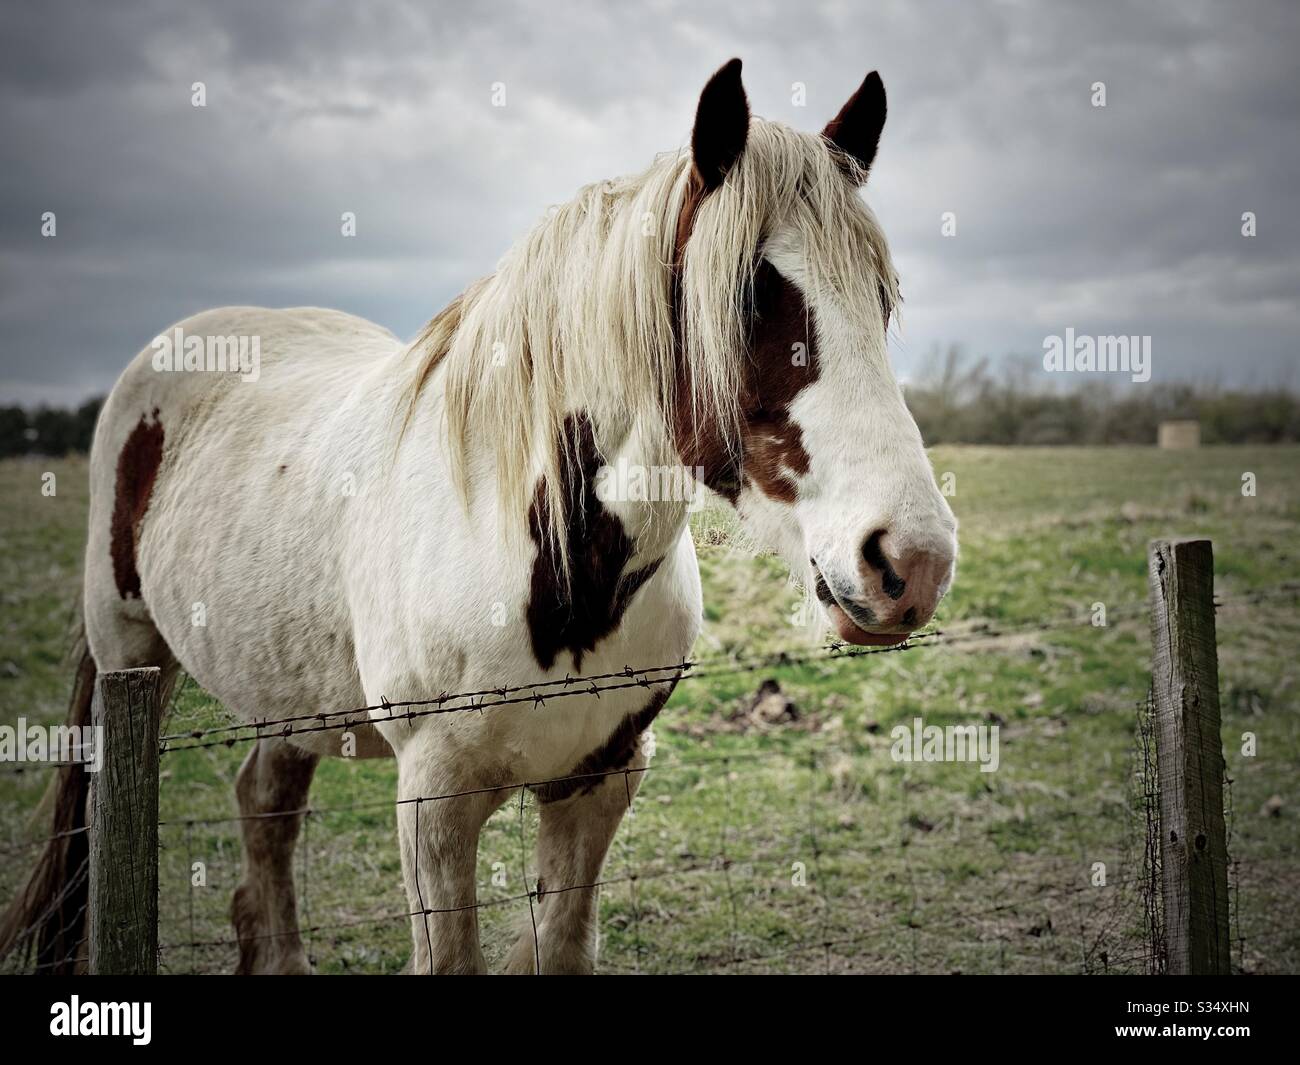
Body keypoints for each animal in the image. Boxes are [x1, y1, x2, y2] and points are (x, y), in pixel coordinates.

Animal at [2, 58, 957, 974]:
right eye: (754, 298)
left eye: (881, 298)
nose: (912, 561)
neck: (554, 567)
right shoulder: (435, 799)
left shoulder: (601, 779)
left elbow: (559, 945)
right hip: (129, 655)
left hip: (287, 689)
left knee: (265, 804)